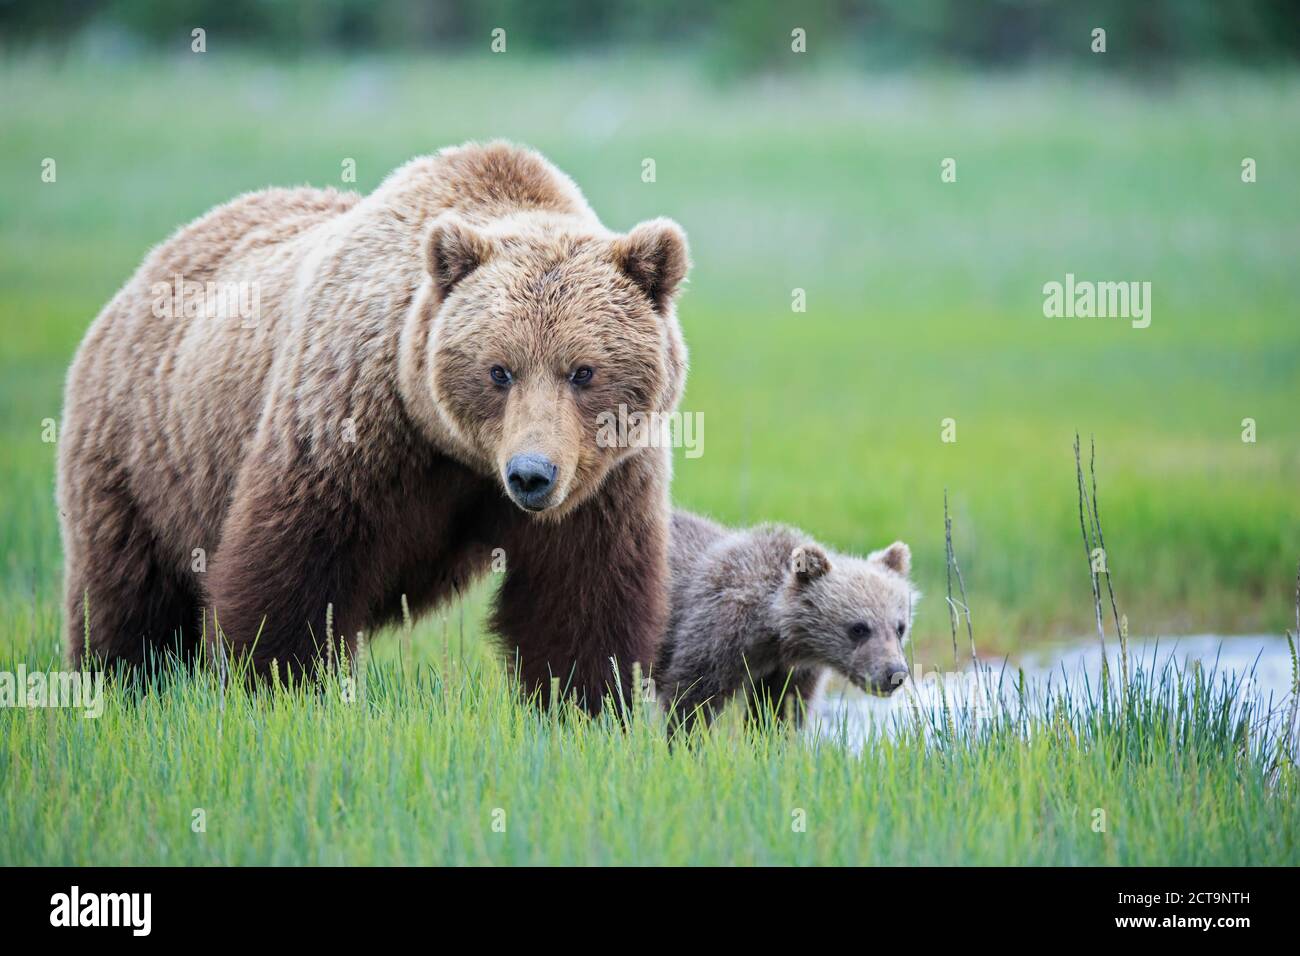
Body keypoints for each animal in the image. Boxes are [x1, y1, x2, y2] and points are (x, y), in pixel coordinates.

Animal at [57, 141, 690, 713]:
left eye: (582, 370)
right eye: (499, 370)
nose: (531, 474)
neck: (457, 452)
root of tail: (152, 263)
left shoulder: (604, 476)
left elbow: (583, 597)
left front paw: (582, 705)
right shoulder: (355, 428)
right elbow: (295, 567)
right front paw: (281, 689)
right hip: (142, 454)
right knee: (132, 597)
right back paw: (123, 684)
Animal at [655, 510, 916, 735]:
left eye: (900, 628)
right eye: (859, 628)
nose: (895, 673)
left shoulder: (792, 670)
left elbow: (778, 711)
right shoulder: (715, 633)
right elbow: (692, 701)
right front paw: (685, 744)